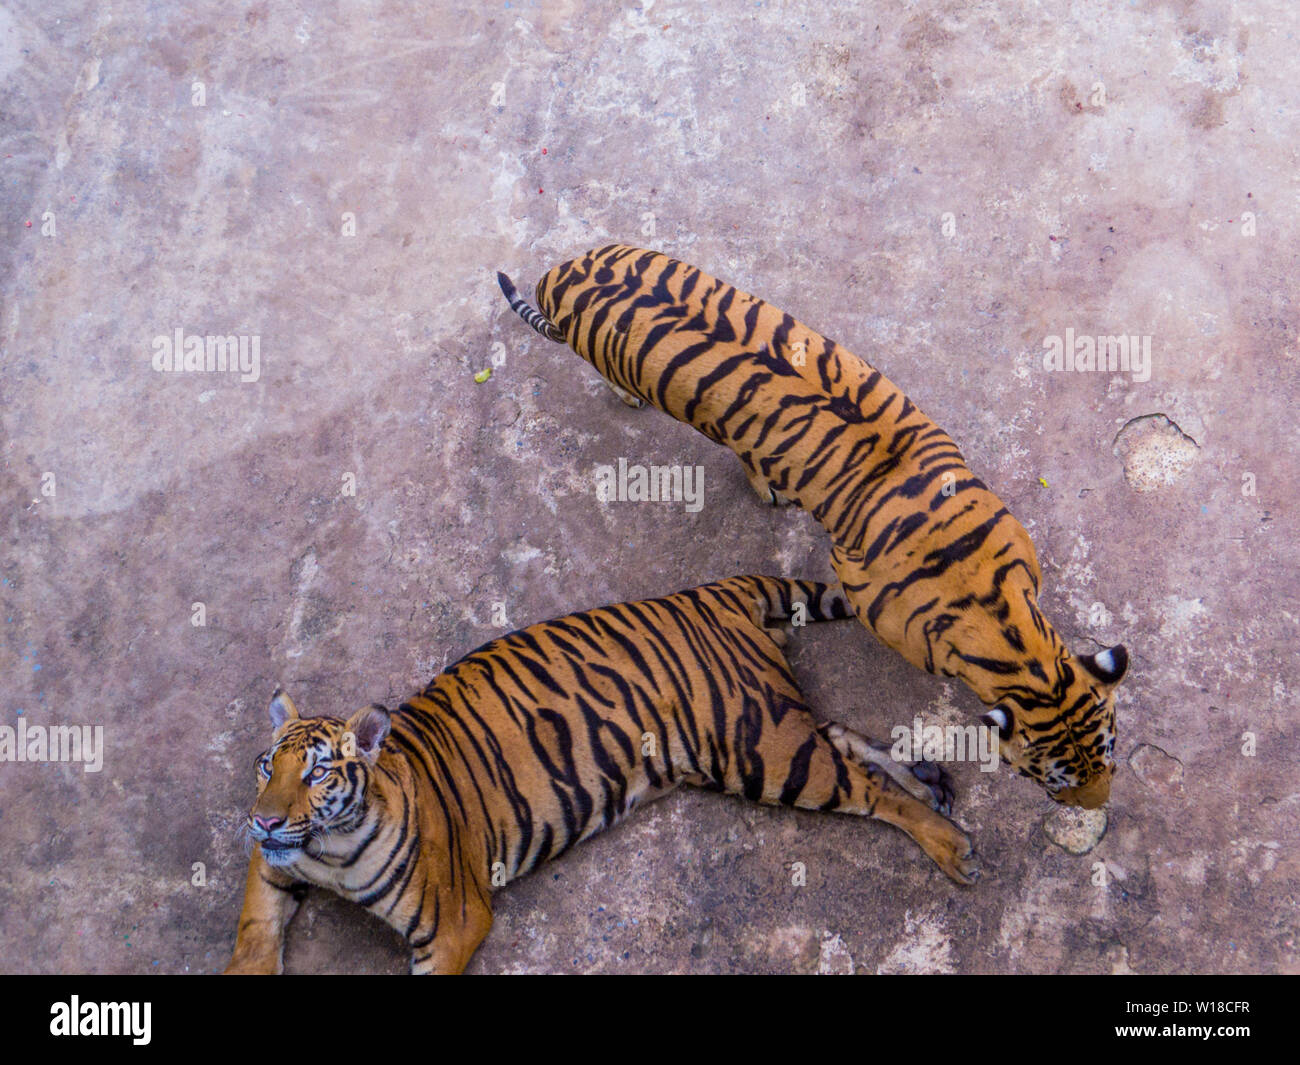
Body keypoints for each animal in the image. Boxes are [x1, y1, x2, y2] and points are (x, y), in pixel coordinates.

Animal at [225, 576, 977, 975]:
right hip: (764, 733)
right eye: (267, 765)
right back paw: (931, 780)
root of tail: (717, 590)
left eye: (318, 774)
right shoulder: (272, 865)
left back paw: (950, 843)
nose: (262, 819)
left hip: (762, 748)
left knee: (864, 787)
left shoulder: (452, 925)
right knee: (845, 737)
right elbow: (254, 929)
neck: (330, 849)